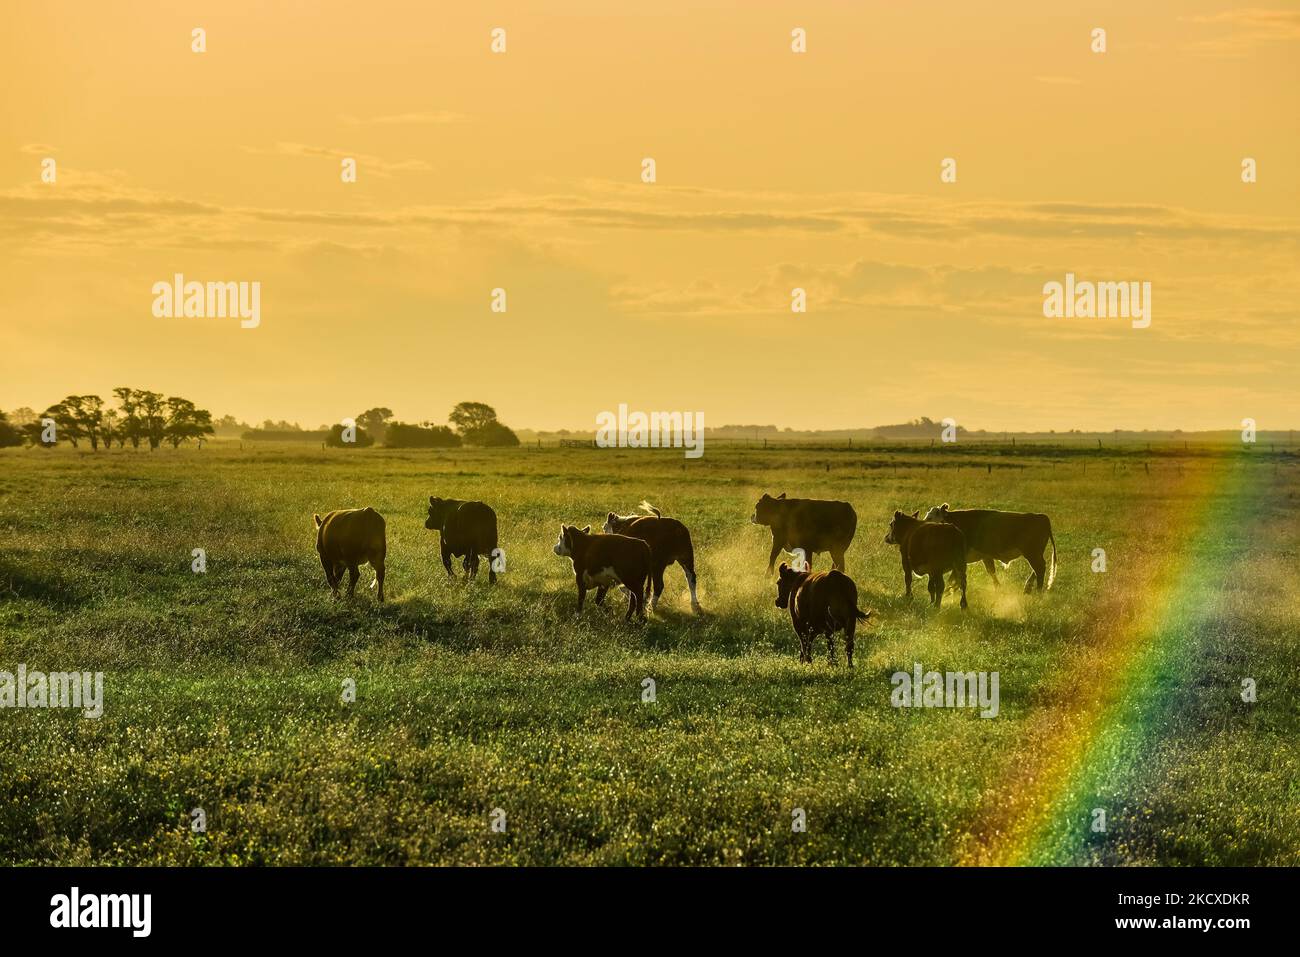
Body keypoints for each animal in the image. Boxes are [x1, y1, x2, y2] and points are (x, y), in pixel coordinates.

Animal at [923, 503, 1057, 593]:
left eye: (930, 518)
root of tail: (1041, 516)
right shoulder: (985, 556)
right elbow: (991, 572)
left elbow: (953, 578)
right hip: (1034, 554)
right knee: (1037, 569)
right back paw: (1027, 588)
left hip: (1032, 553)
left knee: (1039, 568)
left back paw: (1038, 591)